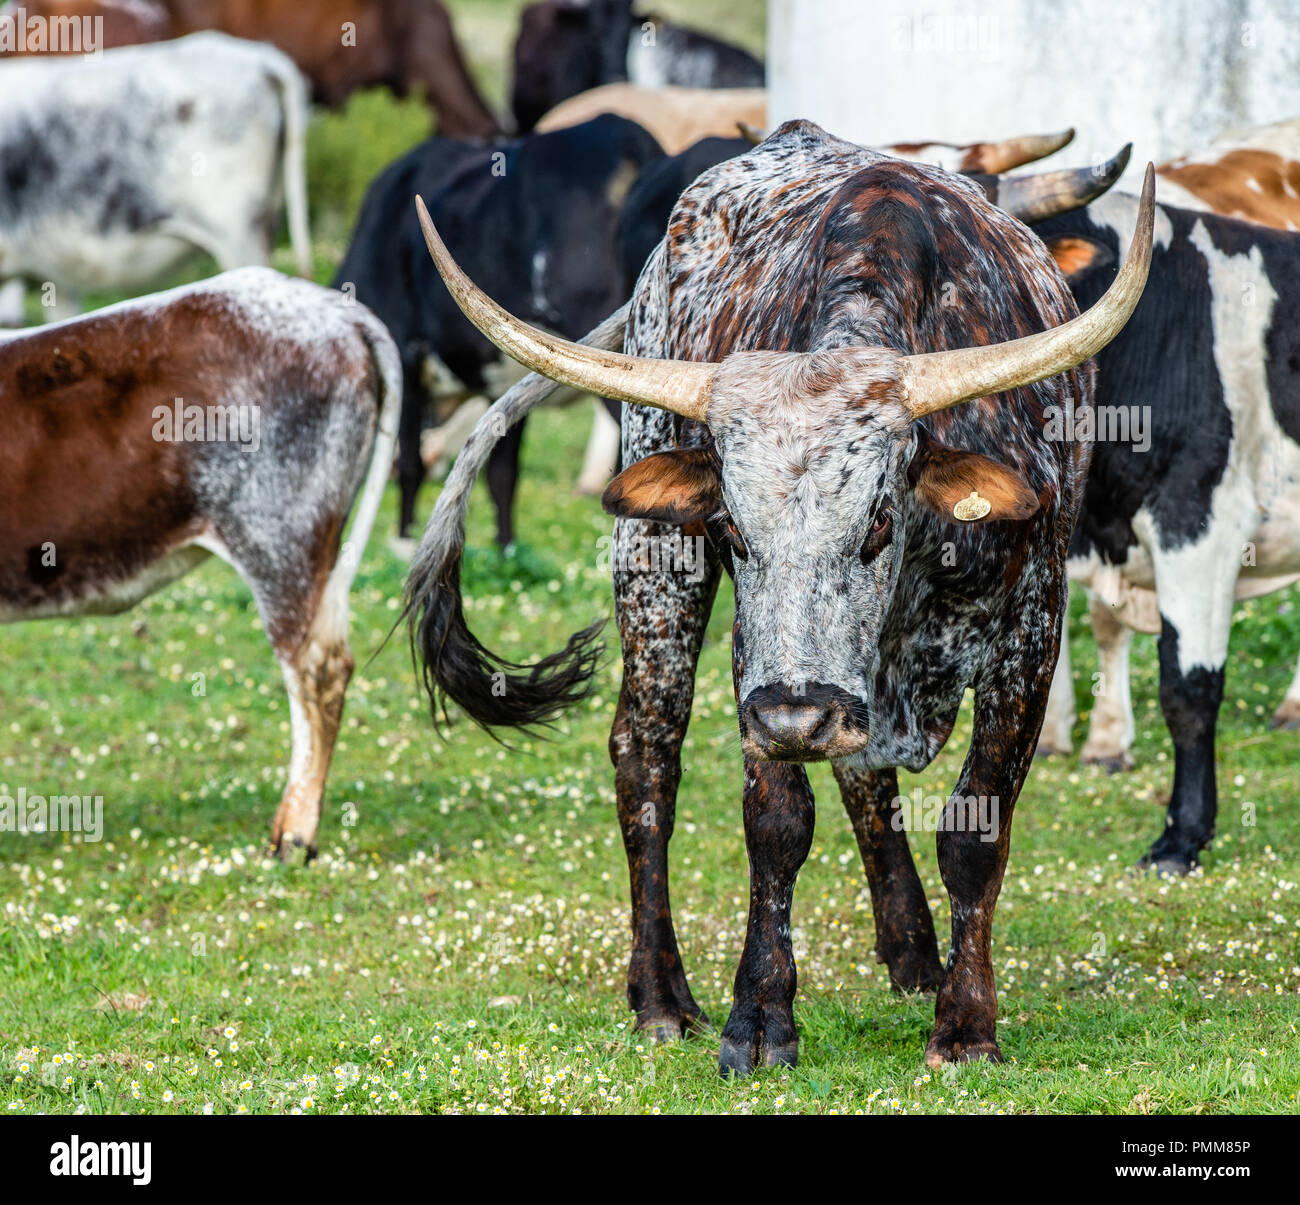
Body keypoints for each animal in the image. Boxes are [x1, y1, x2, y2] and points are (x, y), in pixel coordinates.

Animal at [403, 120, 1154, 1071]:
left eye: (877, 520)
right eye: (734, 526)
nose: (797, 716)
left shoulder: (1033, 623)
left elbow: (974, 830)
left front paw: (965, 1021)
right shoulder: (758, 660)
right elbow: (778, 821)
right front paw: (758, 1016)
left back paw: (913, 949)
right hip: (655, 562)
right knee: (647, 756)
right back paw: (660, 993)